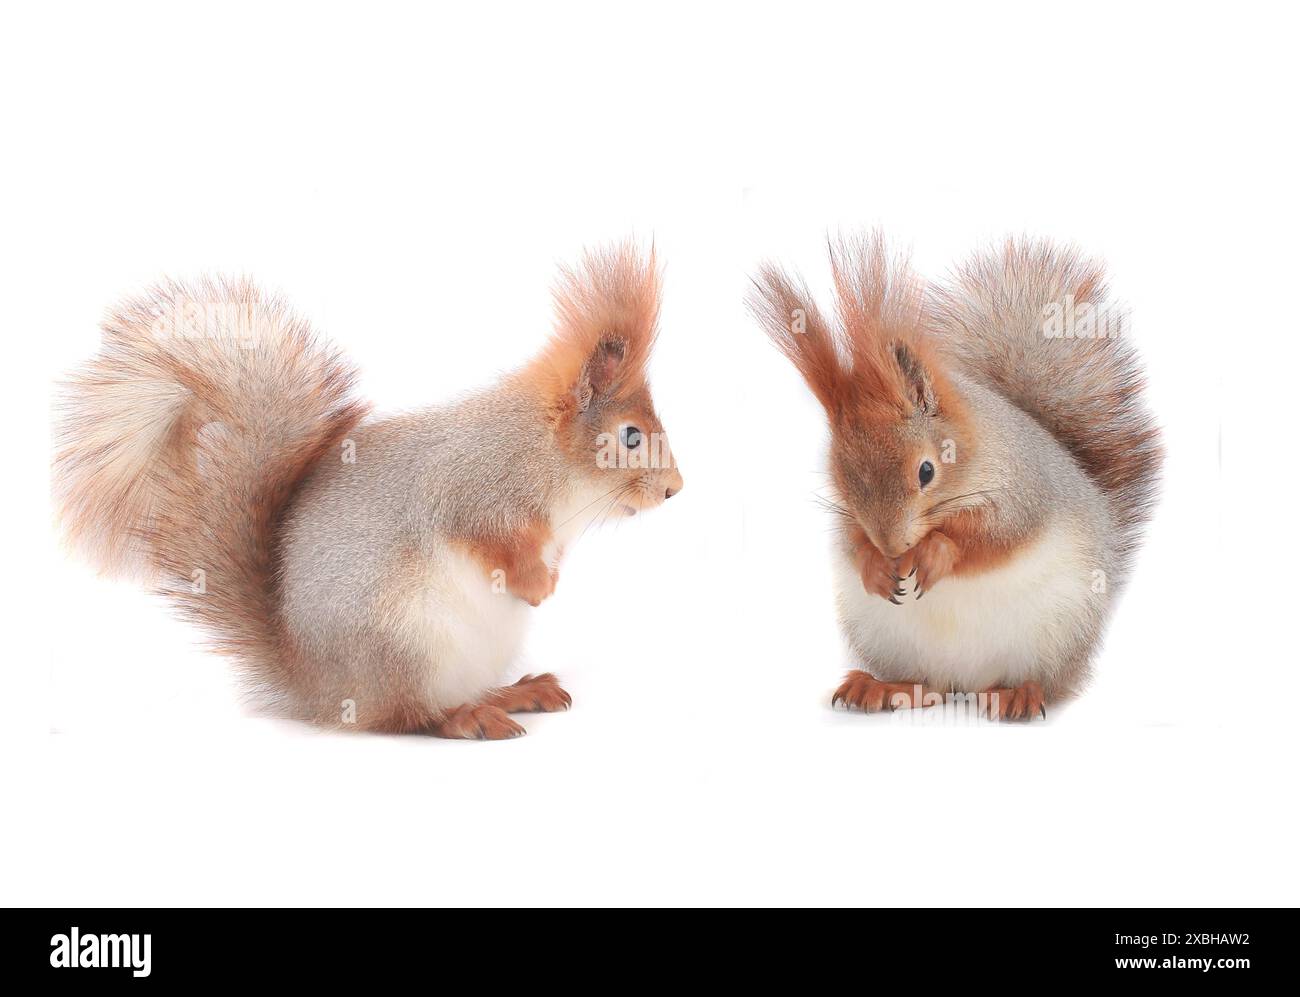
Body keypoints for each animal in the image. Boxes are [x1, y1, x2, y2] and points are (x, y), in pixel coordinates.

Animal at [53, 244, 683, 738]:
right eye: (630, 436)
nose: (676, 489)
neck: (549, 458)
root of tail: (317, 686)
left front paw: (549, 578)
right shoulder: (474, 489)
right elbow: (492, 543)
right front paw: (537, 585)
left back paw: (514, 692)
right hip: (405, 646)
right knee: (409, 717)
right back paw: (468, 718)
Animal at [750, 234, 1161, 720]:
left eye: (927, 471)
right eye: (840, 474)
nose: (893, 547)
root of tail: (967, 685)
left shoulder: (1025, 491)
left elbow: (994, 536)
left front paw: (935, 552)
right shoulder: (849, 520)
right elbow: (851, 542)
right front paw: (874, 565)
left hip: (1054, 637)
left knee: (1041, 682)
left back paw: (1018, 694)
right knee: (927, 687)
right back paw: (882, 687)